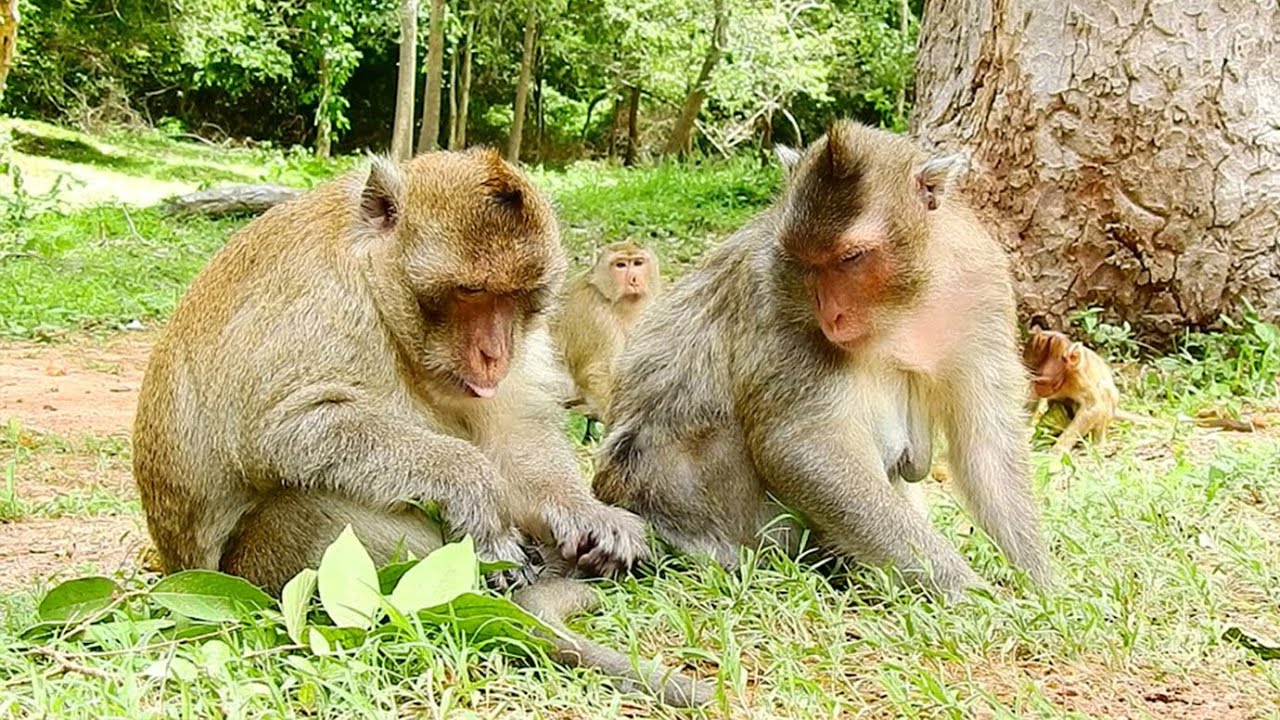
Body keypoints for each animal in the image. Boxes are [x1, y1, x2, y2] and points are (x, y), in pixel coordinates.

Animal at [593, 121, 1051, 601]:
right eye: (803, 261)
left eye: (851, 258)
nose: (830, 313)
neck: (902, 303)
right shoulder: (775, 289)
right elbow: (799, 444)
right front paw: (971, 591)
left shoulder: (982, 285)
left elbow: (987, 445)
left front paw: (1042, 585)